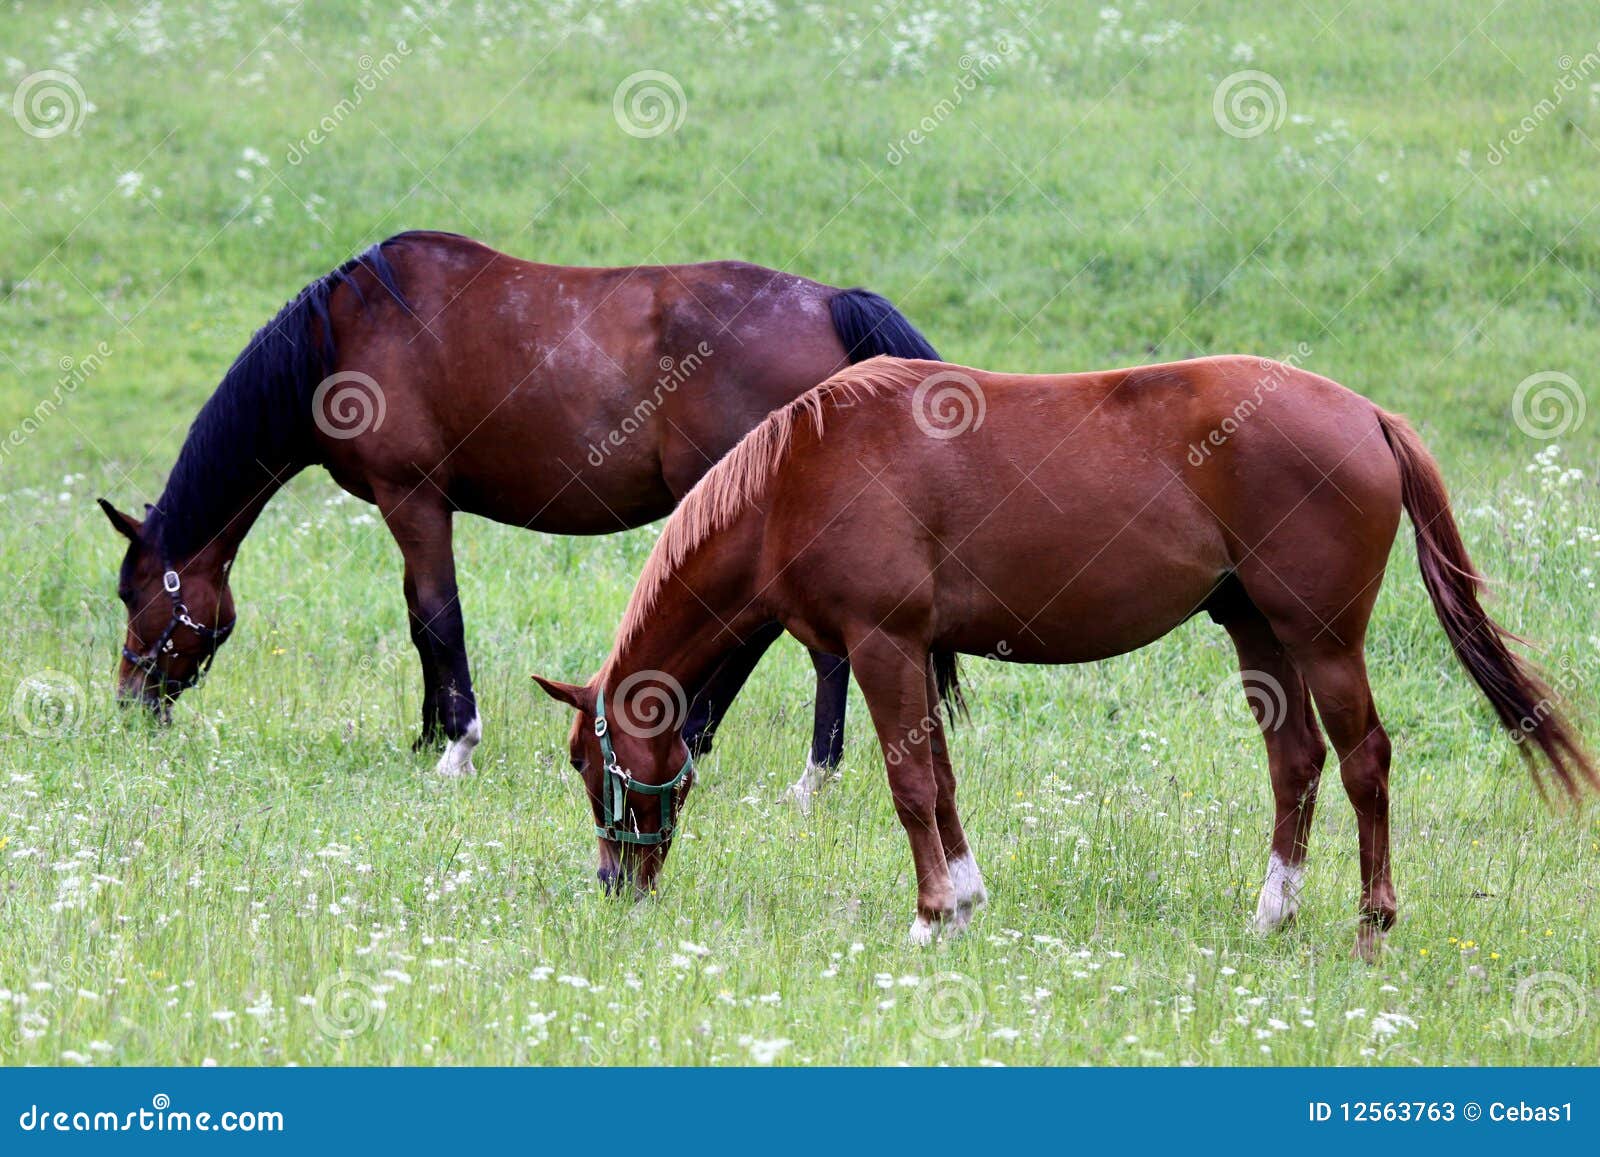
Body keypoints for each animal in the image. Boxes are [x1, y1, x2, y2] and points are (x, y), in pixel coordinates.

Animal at [101, 230, 939, 791]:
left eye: (133, 593)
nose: (130, 704)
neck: (342, 338)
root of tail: (828, 304)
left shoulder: (412, 498)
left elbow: (440, 614)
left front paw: (457, 746)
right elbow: (419, 619)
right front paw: (426, 734)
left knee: (809, 648)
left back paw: (807, 777)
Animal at [533, 355, 1596, 959]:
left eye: (592, 765)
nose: (613, 885)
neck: (801, 474)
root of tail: (1370, 413)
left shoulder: (883, 646)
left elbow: (909, 785)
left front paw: (927, 917)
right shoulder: (917, 652)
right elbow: (943, 781)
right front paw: (963, 901)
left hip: (1323, 638)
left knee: (1366, 759)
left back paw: (1372, 923)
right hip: (1258, 632)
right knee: (1296, 764)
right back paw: (1272, 913)